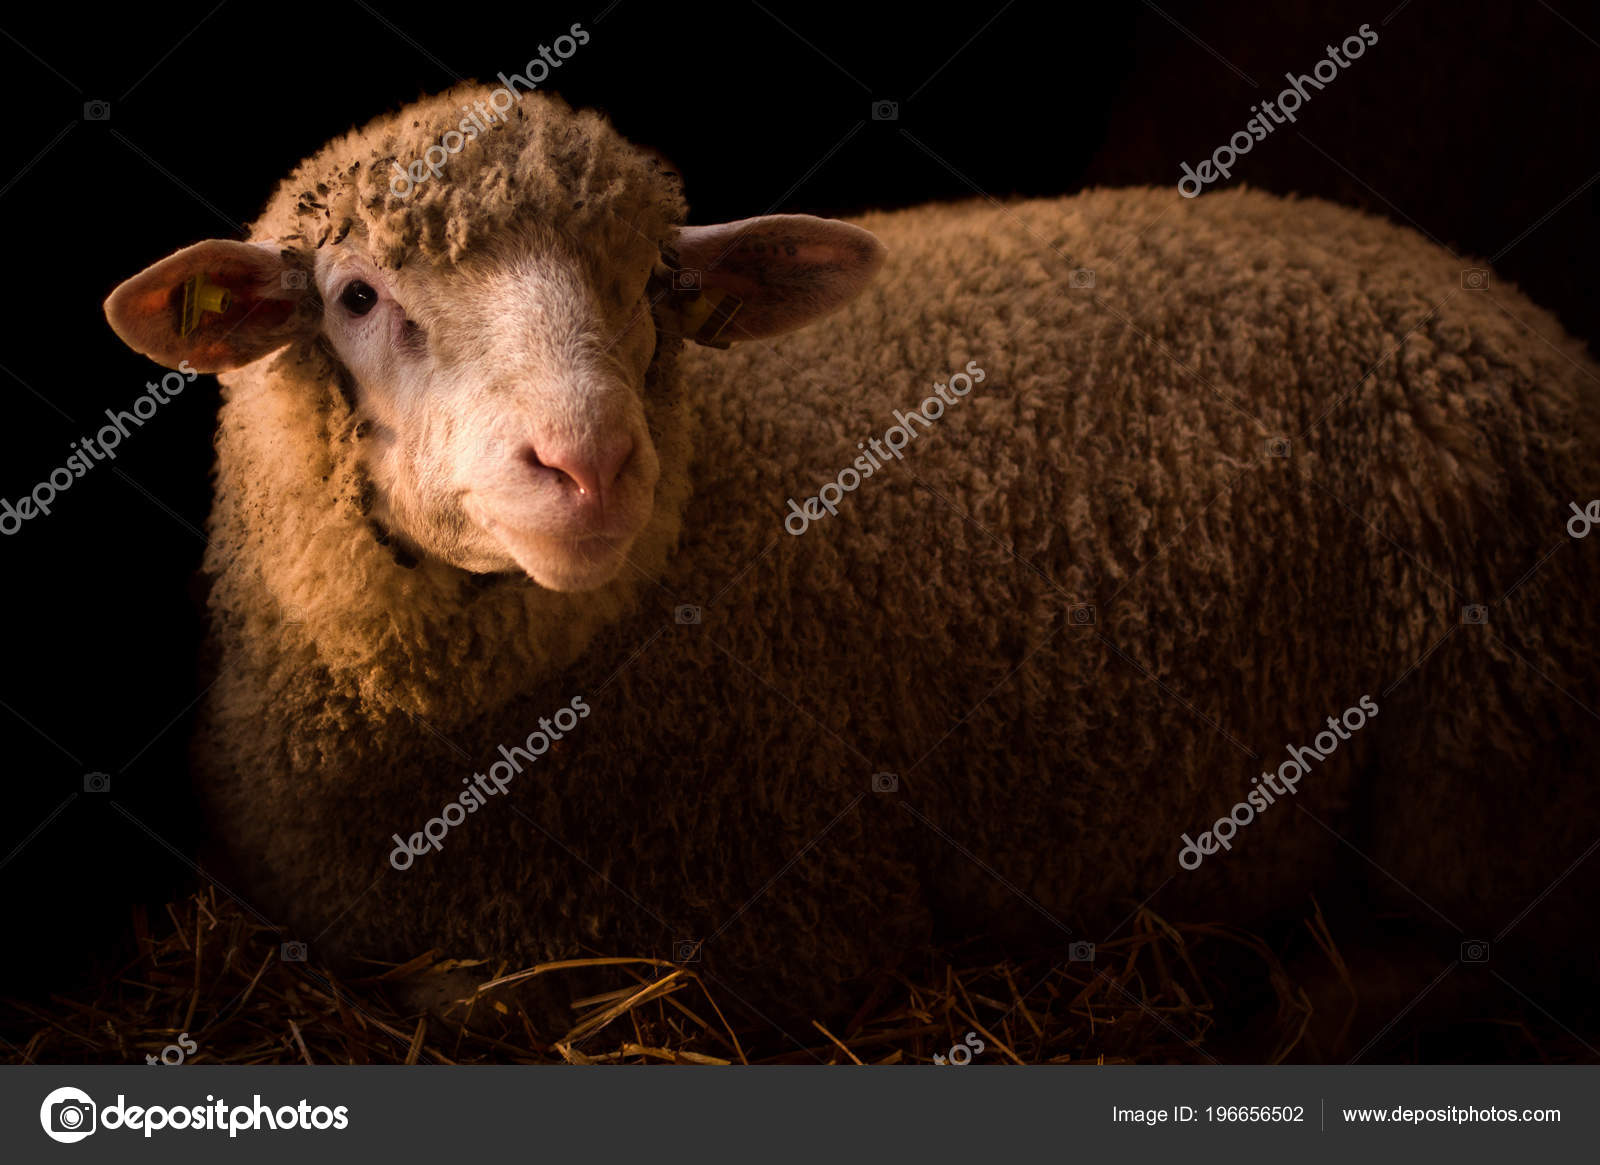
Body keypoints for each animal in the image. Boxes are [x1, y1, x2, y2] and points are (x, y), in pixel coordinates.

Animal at [105, 83, 1600, 1046]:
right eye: (357, 296)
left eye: (653, 287)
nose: (592, 463)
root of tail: (1506, 317)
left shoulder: (789, 933)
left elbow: (474, 997)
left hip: (1491, 762)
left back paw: (1304, 1003)